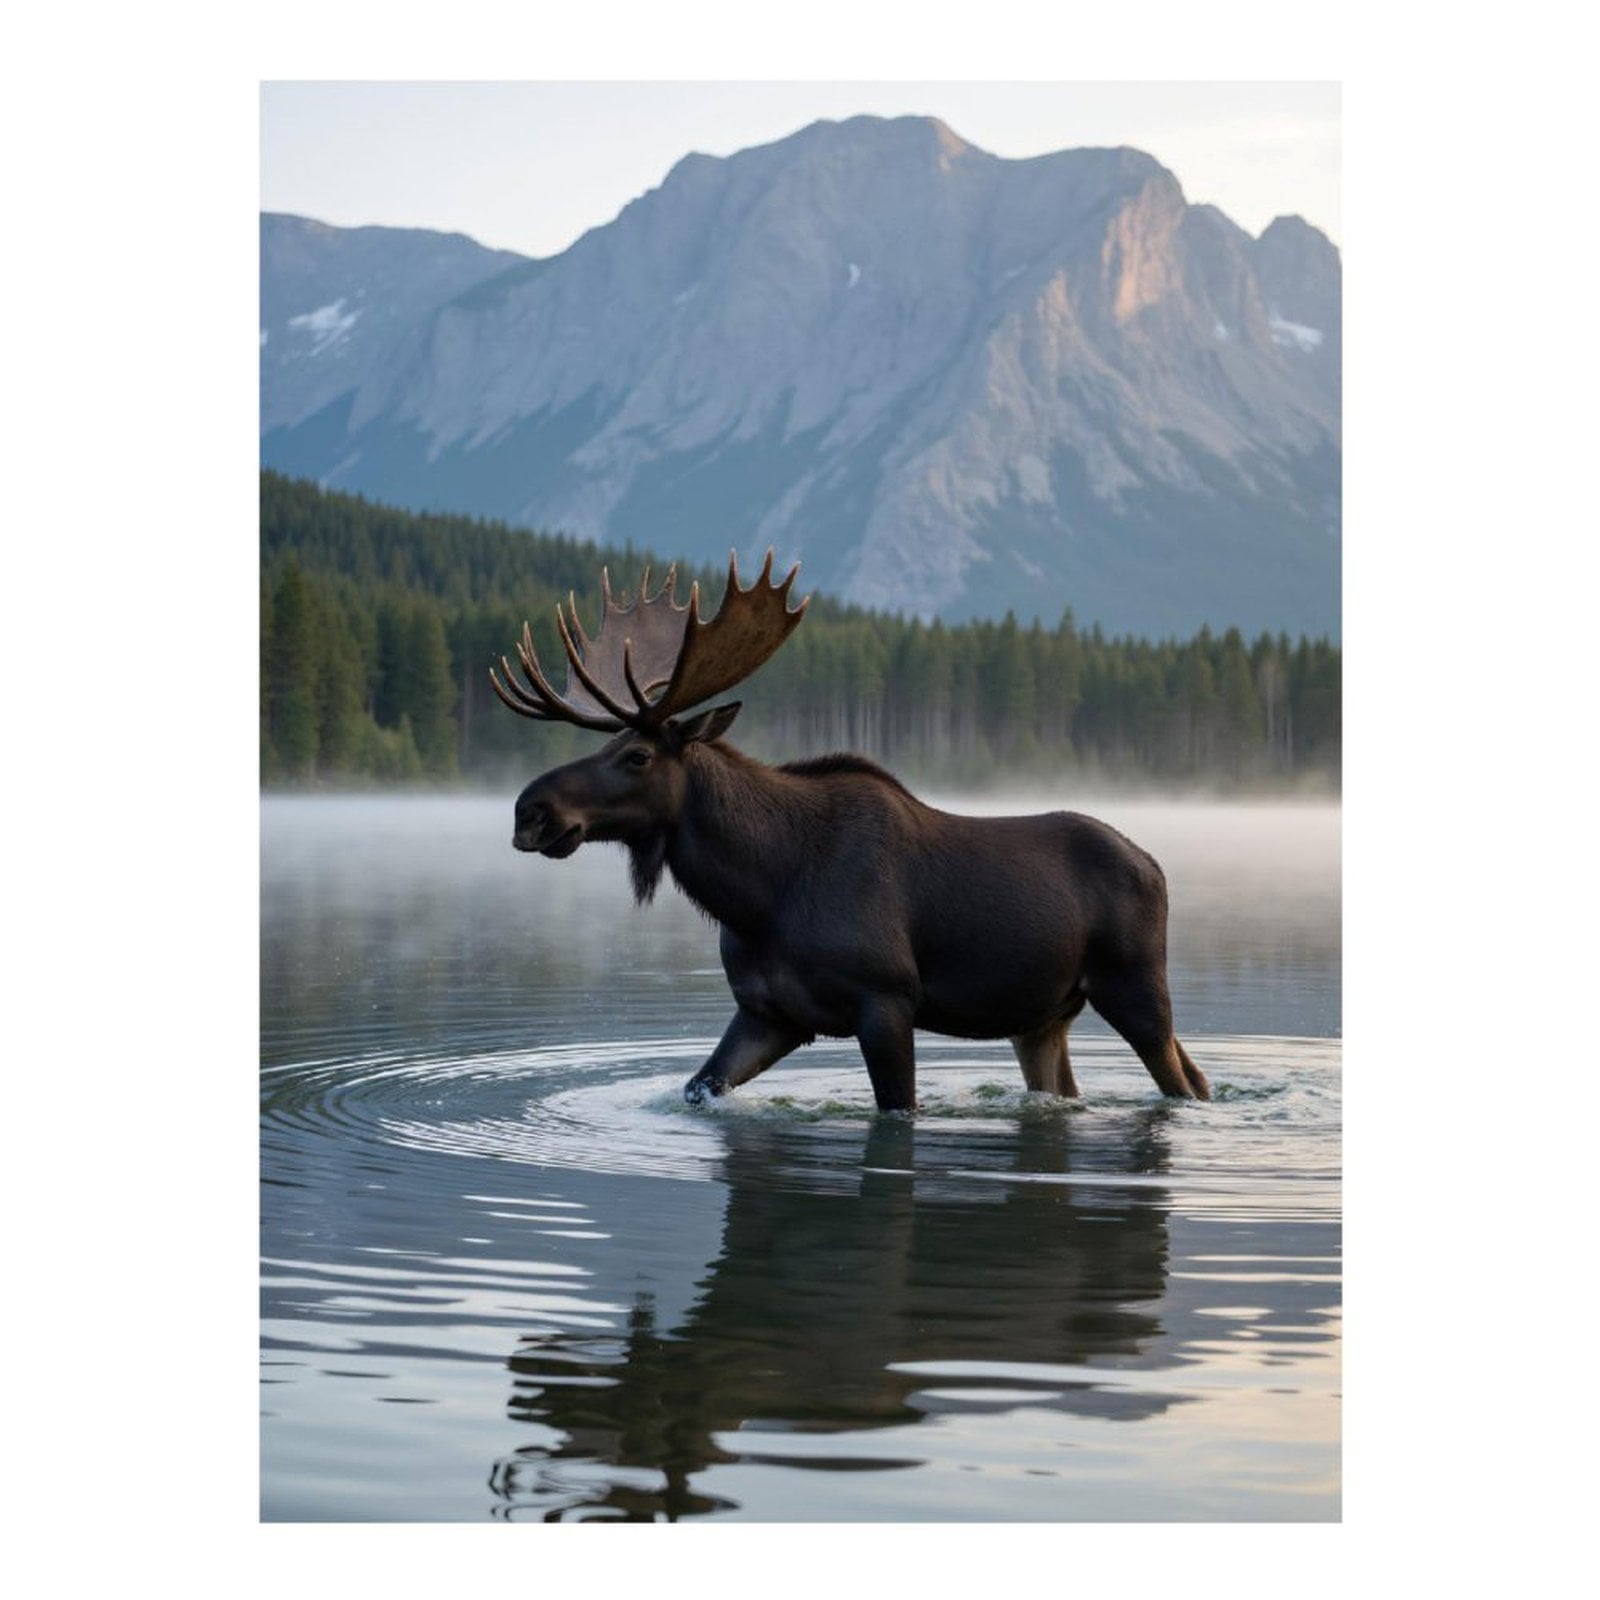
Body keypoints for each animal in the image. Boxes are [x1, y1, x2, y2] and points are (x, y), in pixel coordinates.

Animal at [492, 554, 1210, 1112]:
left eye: (637, 756)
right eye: (608, 743)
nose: (530, 811)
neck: (760, 895)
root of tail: (1155, 865)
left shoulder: (886, 999)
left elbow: (896, 1107)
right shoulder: (768, 1012)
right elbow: (698, 1087)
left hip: (1135, 985)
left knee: (1187, 1081)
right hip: (1042, 1016)